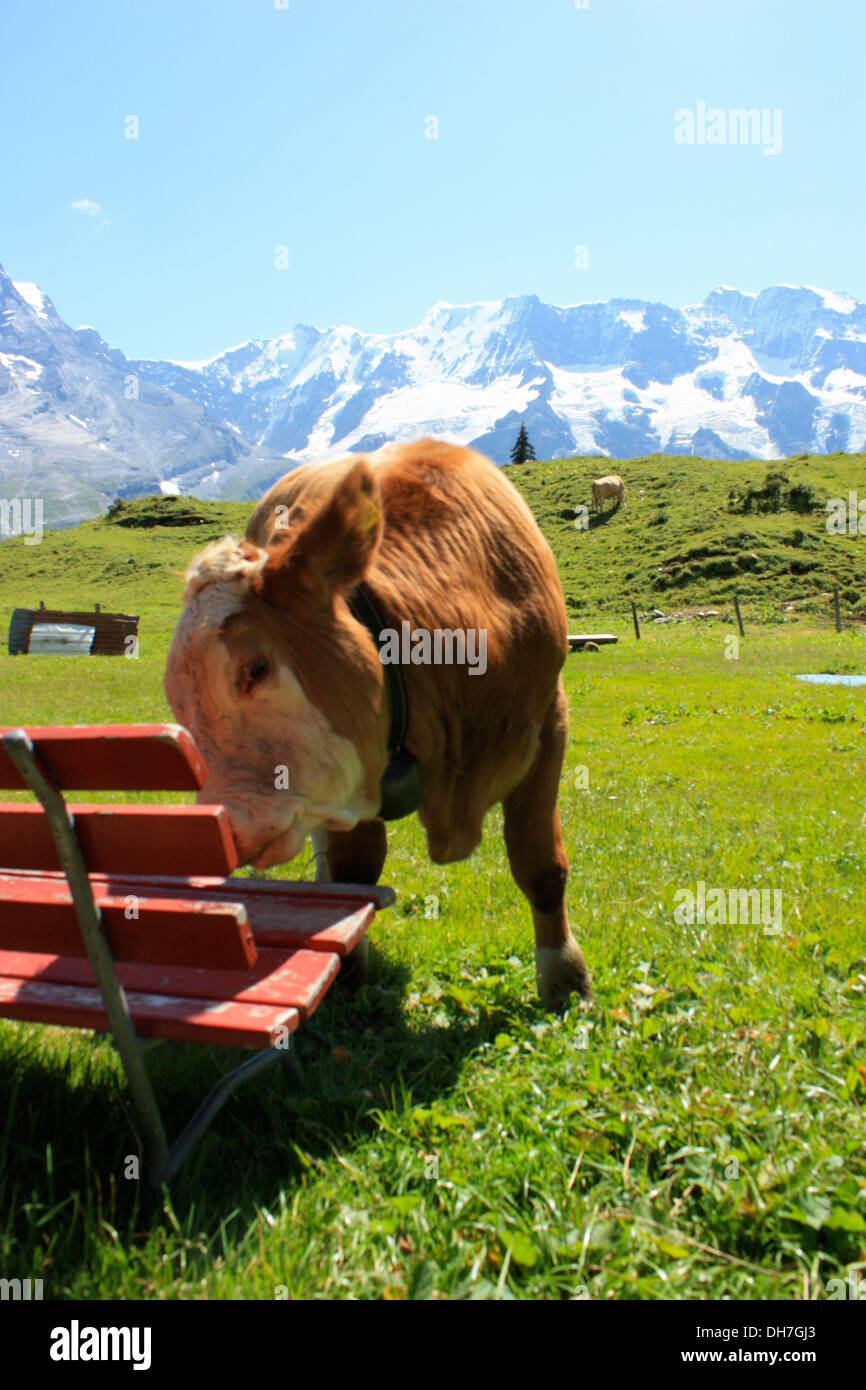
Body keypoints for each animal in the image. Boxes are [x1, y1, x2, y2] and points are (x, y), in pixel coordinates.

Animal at [163, 438, 591, 1011]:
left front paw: (564, 978)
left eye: (256, 668)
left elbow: (541, 865)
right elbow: (355, 874)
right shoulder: (355, 769)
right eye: (176, 701)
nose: (219, 829)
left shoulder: (548, 723)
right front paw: (345, 970)